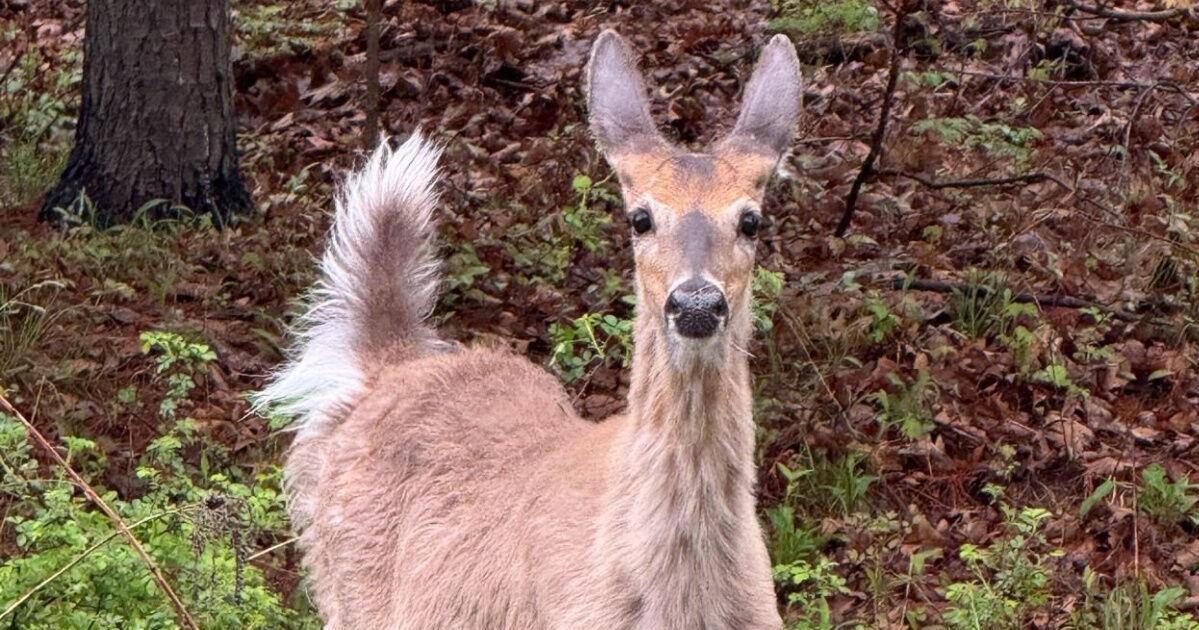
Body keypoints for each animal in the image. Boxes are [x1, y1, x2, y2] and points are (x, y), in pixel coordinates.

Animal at [256, 29, 802, 630]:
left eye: (750, 220)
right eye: (641, 218)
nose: (697, 302)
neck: (682, 598)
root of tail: (390, 362)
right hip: (349, 596)